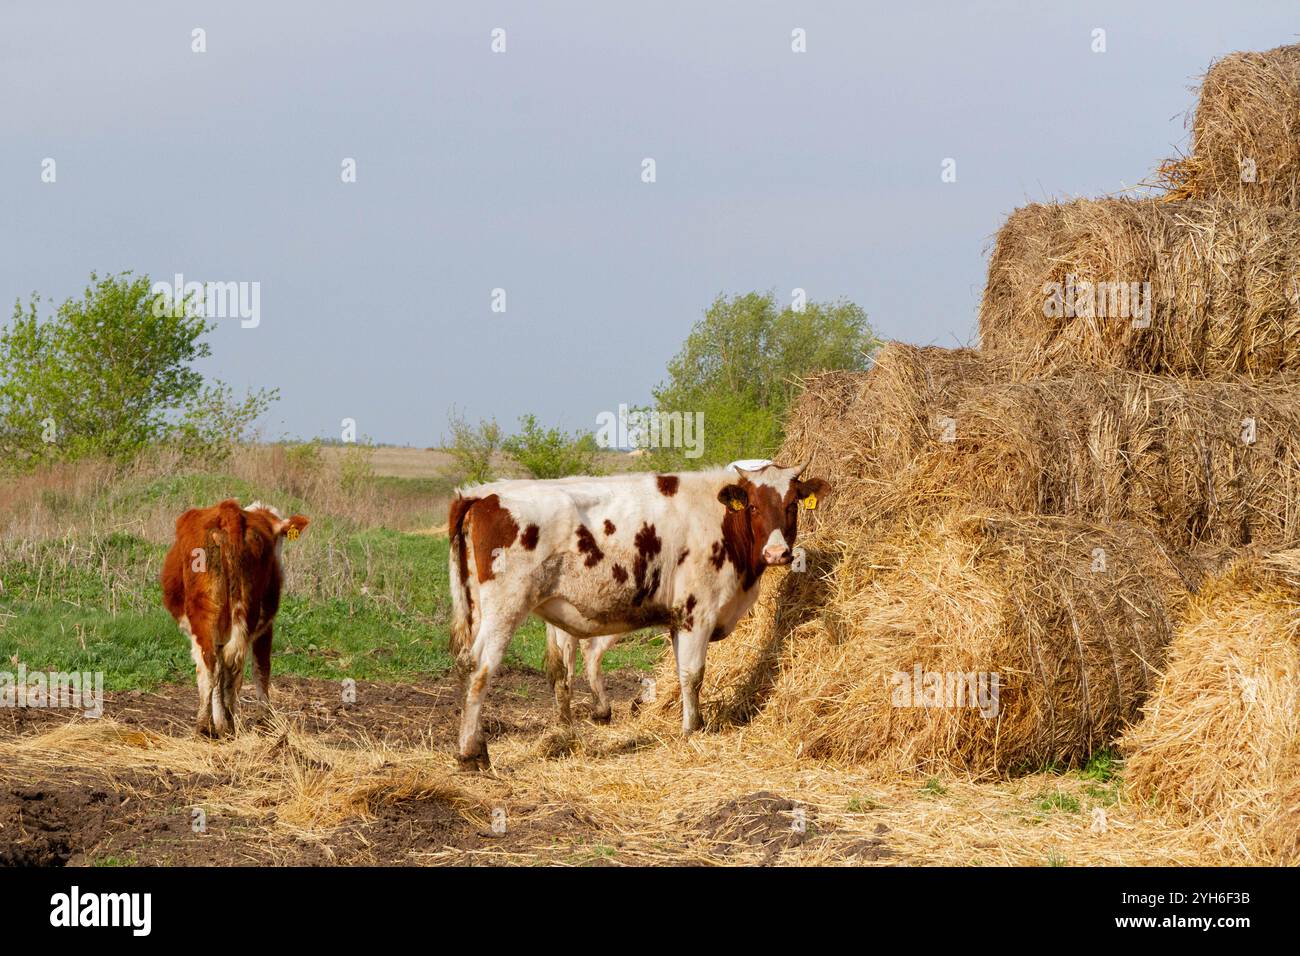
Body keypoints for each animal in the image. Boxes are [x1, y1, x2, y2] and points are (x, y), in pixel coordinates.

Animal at [161, 500, 309, 737]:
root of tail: (229, 513)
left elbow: (255, 669)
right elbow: (257, 669)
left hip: (204, 617)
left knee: (210, 667)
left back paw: (206, 726)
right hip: (243, 614)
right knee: (229, 664)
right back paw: (225, 725)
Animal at [447, 460, 829, 769]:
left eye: (791, 504)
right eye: (752, 505)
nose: (777, 553)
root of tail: (481, 494)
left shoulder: (678, 618)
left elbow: (681, 673)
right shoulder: (697, 613)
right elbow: (693, 675)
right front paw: (693, 730)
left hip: (479, 608)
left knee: (479, 666)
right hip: (505, 608)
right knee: (480, 667)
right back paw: (471, 754)